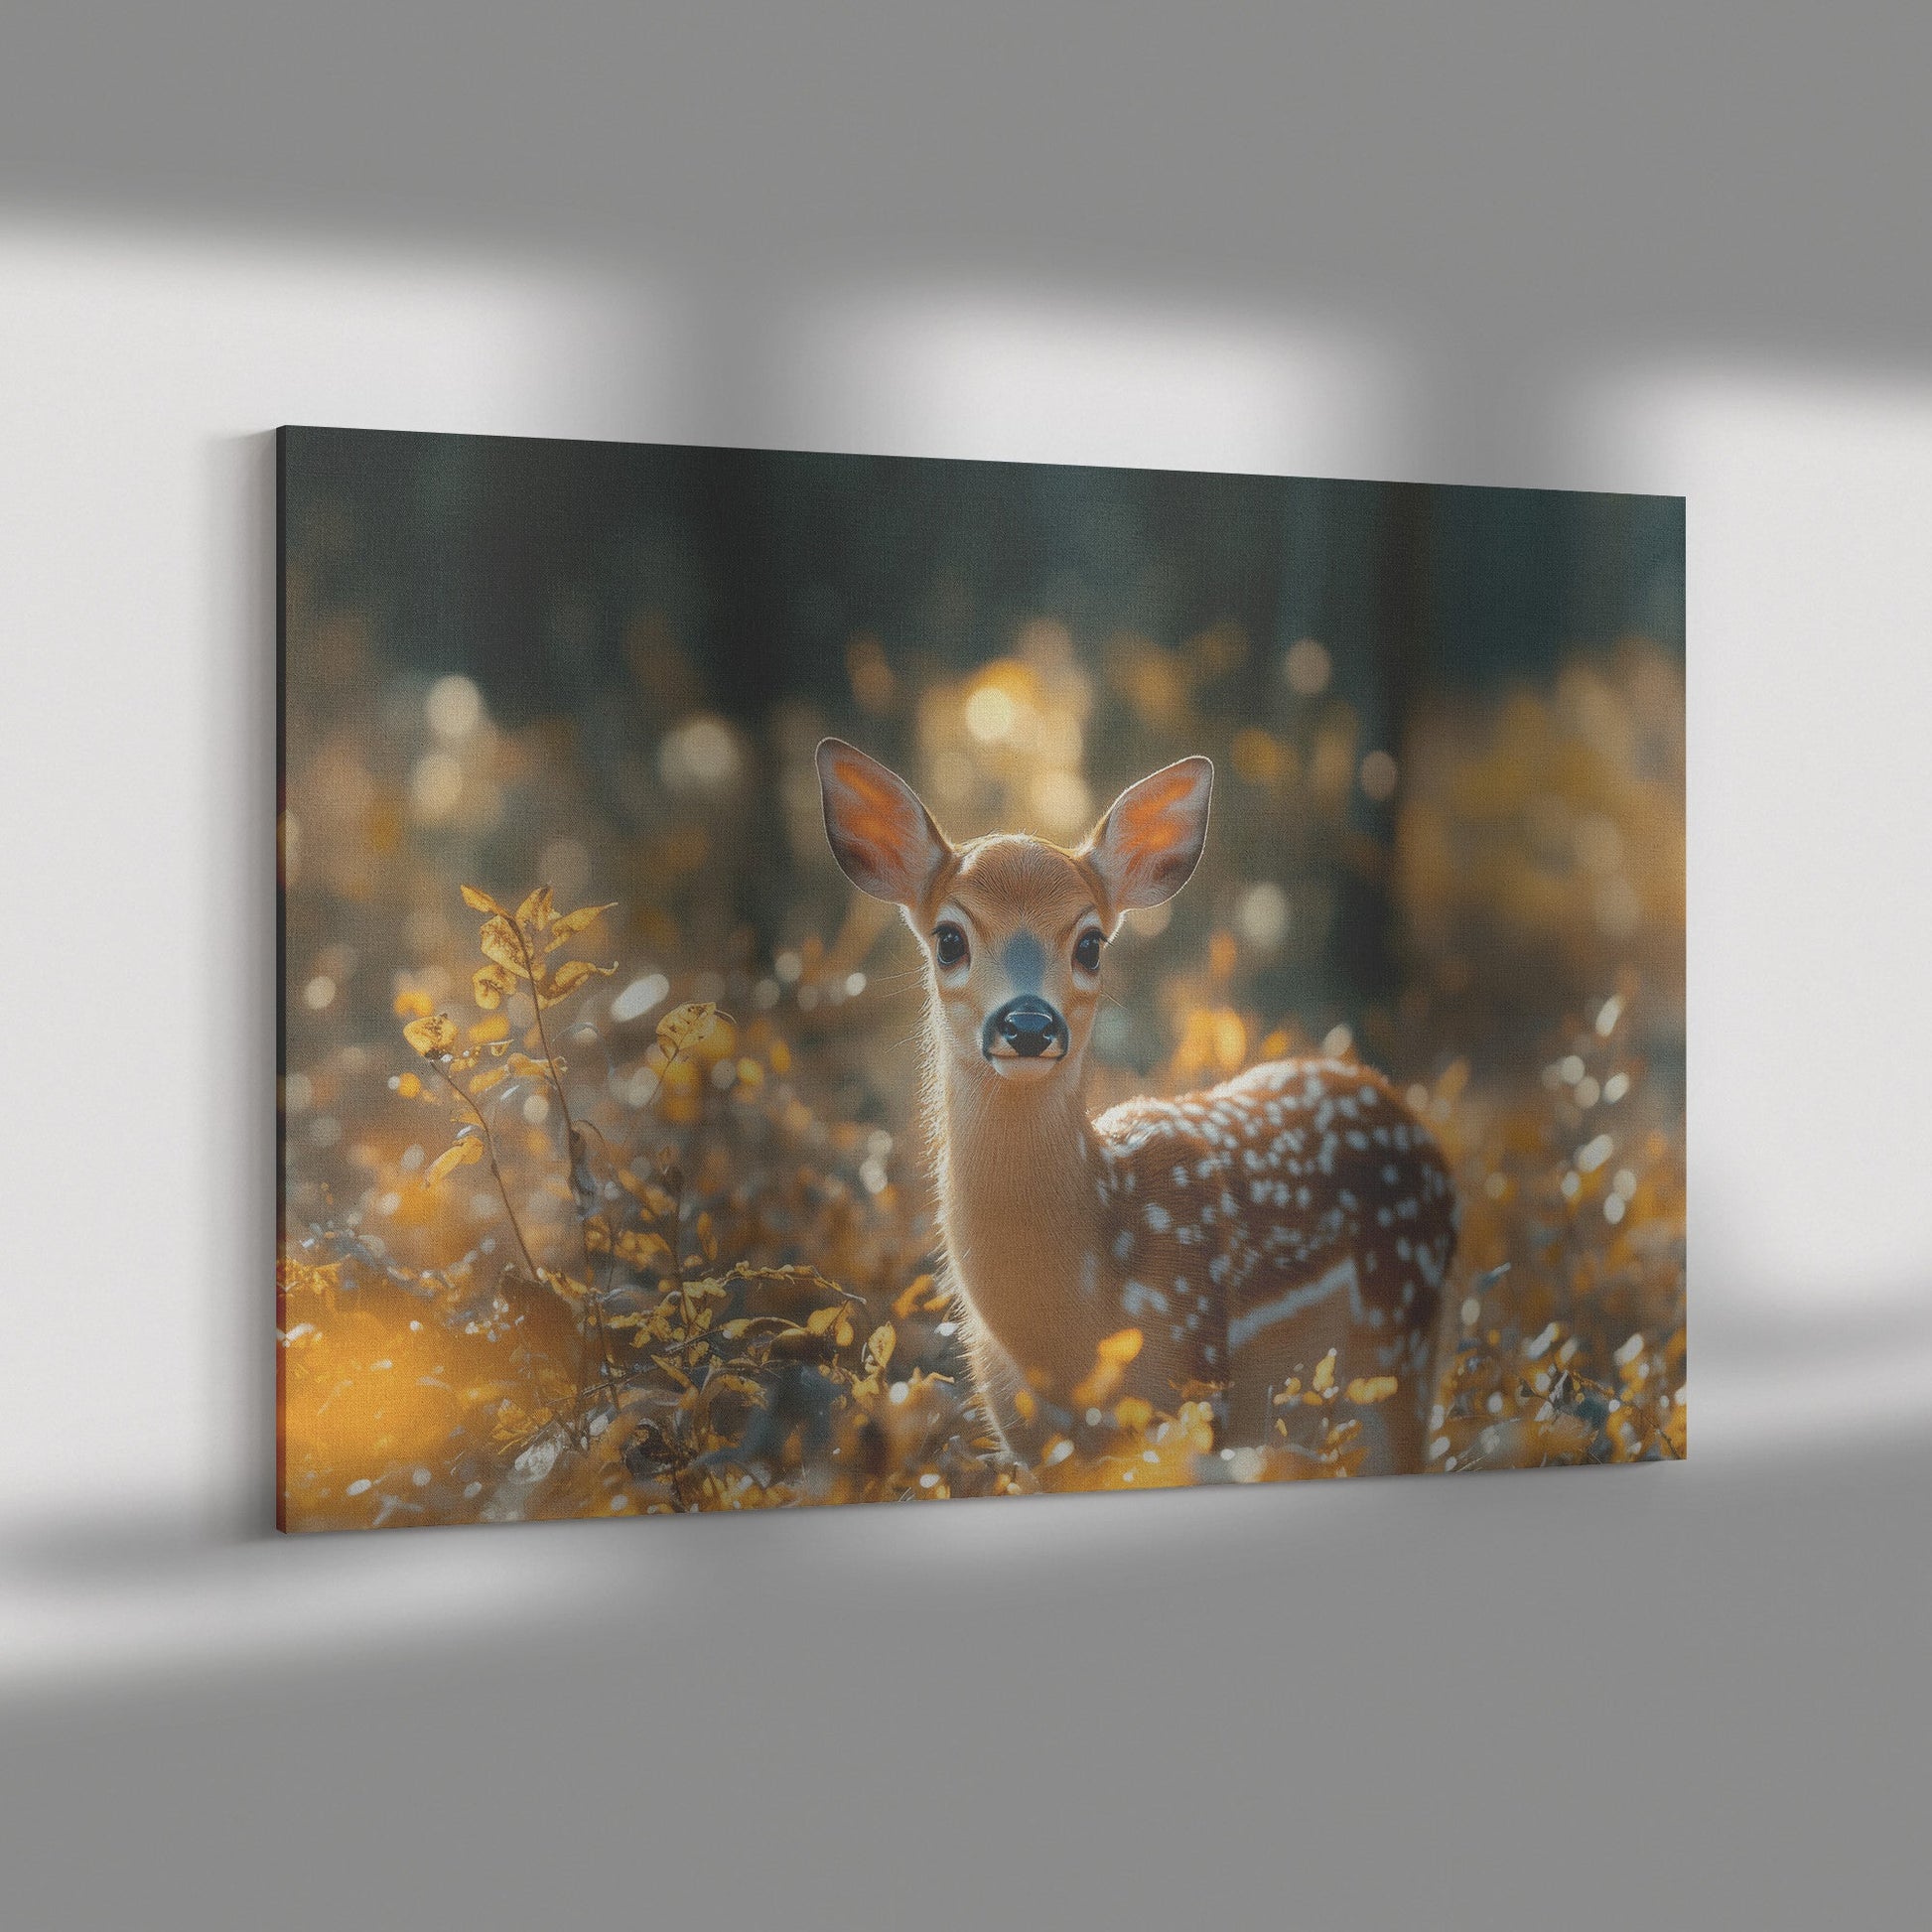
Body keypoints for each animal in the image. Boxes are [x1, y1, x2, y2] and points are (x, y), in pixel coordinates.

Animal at [816, 737, 1457, 1480]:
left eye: (1090, 943)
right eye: (950, 938)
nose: (1029, 1024)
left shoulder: (1191, 1378)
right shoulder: (1026, 1439)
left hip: (1400, 1344)